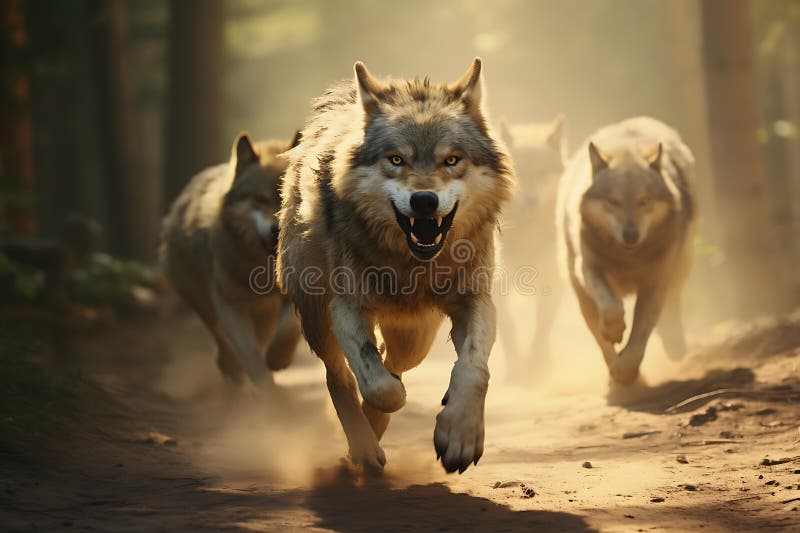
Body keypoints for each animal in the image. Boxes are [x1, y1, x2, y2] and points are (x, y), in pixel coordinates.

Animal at [161, 132, 302, 386]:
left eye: (284, 195)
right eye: (259, 199)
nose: (276, 229)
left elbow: (288, 329)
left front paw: (278, 359)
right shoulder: (230, 305)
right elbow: (251, 357)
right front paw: (269, 393)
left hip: (263, 315)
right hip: (205, 303)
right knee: (221, 340)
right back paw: (231, 369)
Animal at [277, 59, 514, 473]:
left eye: (451, 160)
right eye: (396, 159)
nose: (424, 201)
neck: (413, 267)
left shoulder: (476, 302)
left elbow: (474, 370)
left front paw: (460, 437)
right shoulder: (346, 308)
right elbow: (379, 385)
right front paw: (388, 406)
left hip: (415, 336)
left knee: (396, 360)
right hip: (317, 313)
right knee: (339, 377)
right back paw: (364, 447)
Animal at [496, 115, 566, 378]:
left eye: (543, 172)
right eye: (517, 171)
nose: (530, 200)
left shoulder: (553, 281)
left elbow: (542, 328)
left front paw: (536, 366)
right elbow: (508, 327)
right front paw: (516, 370)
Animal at [557, 116, 696, 385]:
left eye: (644, 201)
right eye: (613, 202)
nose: (630, 235)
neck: (628, 259)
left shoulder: (655, 284)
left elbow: (640, 334)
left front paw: (627, 369)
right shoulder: (588, 267)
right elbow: (611, 307)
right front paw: (615, 336)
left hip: (679, 269)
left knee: (672, 307)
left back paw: (674, 345)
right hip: (581, 295)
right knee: (599, 336)